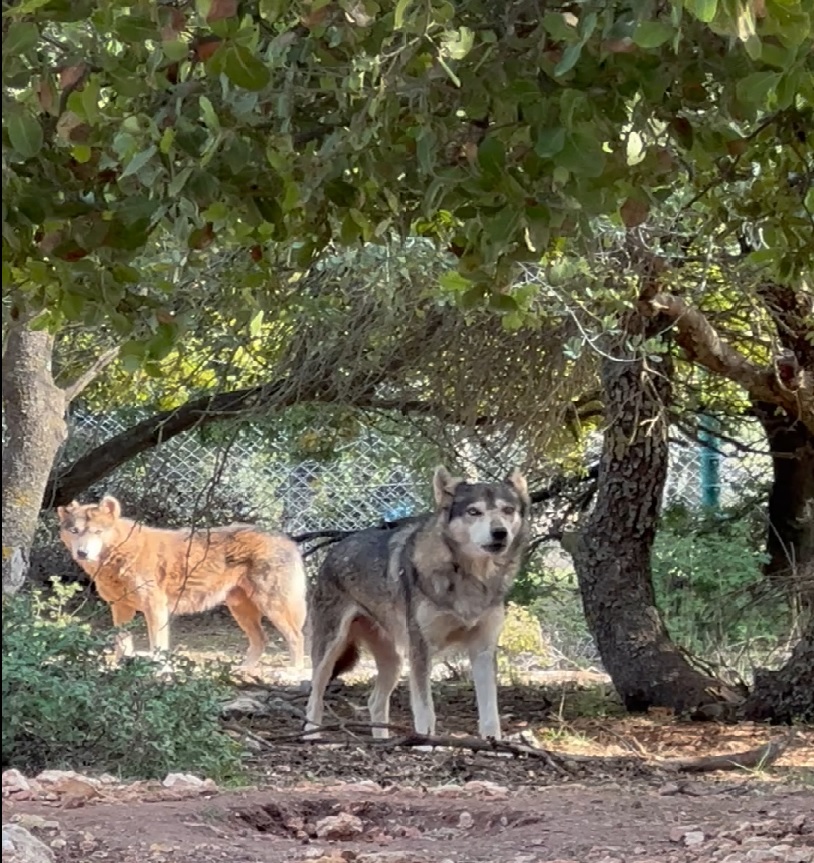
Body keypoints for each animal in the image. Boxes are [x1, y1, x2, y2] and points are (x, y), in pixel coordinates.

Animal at [57, 496, 307, 669]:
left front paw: (159, 672)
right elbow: (122, 644)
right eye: (75, 531)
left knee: (297, 638)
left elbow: (157, 646)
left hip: (272, 608)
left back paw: (292, 673)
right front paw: (119, 669)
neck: (121, 553)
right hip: (241, 610)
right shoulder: (120, 608)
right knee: (261, 640)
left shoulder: (155, 608)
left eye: (97, 532)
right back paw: (242, 671)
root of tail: (288, 540)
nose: (82, 553)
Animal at [305, 465, 531, 740]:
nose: (499, 533)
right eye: (474, 512)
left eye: (507, 510)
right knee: (314, 698)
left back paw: (383, 742)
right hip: (330, 652)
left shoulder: (483, 650)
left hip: (394, 662)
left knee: (374, 701)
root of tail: (333, 551)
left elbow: (490, 716)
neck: (468, 577)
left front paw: (493, 744)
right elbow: (425, 711)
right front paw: (426, 743)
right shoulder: (421, 650)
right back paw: (312, 738)